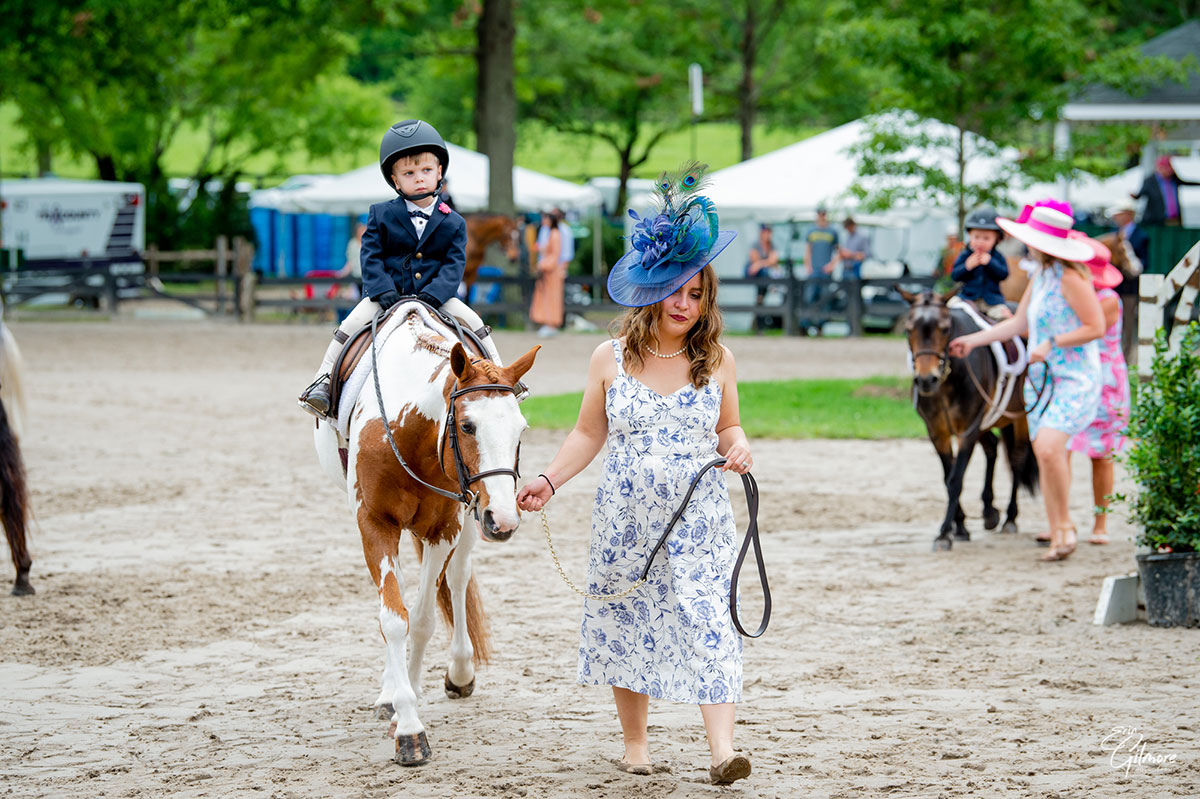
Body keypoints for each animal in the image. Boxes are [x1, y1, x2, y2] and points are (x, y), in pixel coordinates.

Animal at [312, 305, 538, 766]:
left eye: (521, 429)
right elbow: (393, 618)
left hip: (471, 517)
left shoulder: (446, 527)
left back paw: (459, 672)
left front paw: (409, 712)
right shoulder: (374, 523)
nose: (505, 519)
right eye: (467, 426)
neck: (407, 429)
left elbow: (420, 619)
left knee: (457, 579)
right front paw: (407, 724)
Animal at [899, 288, 1039, 551]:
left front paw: (944, 533)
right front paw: (961, 527)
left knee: (1016, 459)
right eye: (908, 329)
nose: (926, 379)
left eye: (945, 329)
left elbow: (956, 479)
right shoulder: (938, 432)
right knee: (993, 448)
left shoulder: (967, 430)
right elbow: (948, 477)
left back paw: (1010, 518)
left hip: (1020, 417)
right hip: (985, 422)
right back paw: (989, 511)